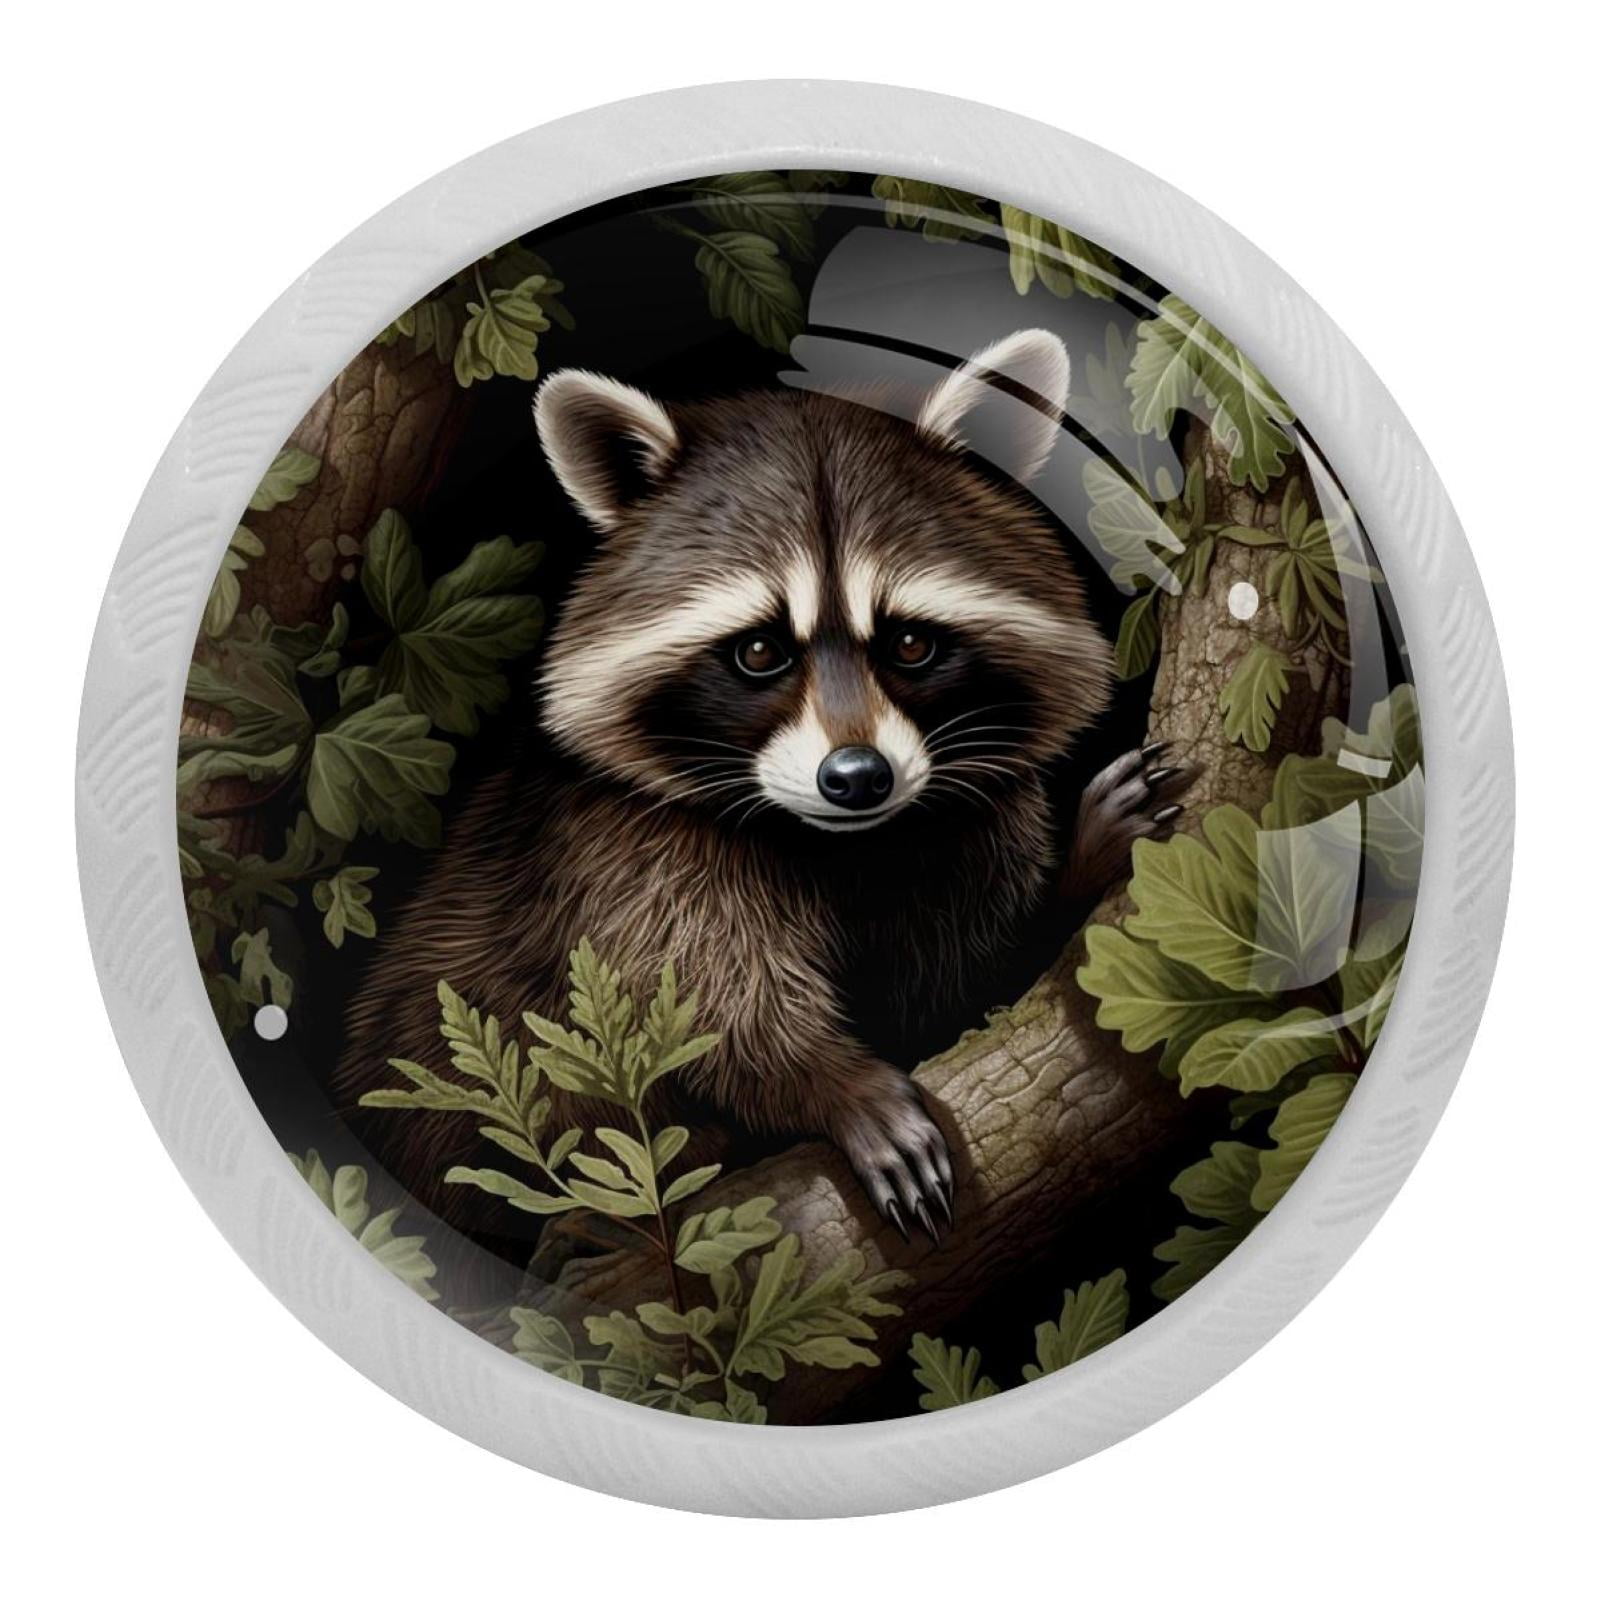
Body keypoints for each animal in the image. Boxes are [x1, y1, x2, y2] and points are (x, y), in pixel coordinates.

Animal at [334, 329, 1191, 1242]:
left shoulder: (967, 827)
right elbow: (699, 1005)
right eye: (757, 651)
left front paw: (1078, 868)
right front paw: (831, 1081)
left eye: (911, 643)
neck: (848, 845)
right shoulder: (618, 852)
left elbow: (962, 980)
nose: (856, 777)